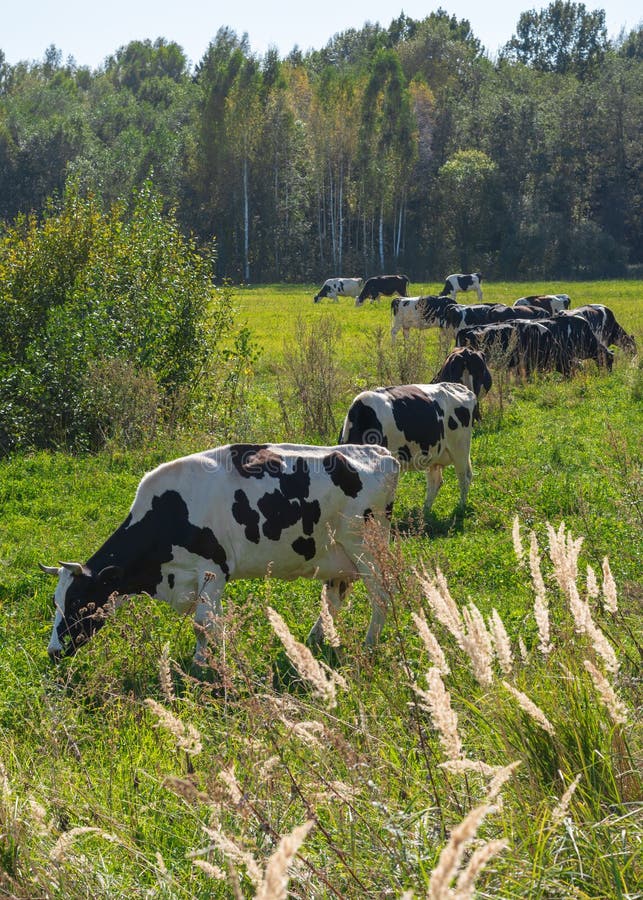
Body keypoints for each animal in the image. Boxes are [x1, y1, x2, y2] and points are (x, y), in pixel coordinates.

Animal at [40, 443, 400, 666]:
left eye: (77, 603)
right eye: (55, 602)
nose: (53, 652)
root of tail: (380, 453)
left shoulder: (212, 571)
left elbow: (204, 624)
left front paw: (205, 665)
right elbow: (211, 623)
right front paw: (209, 660)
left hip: (366, 547)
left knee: (381, 596)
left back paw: (369, 645)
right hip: (337, 556)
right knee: (334, 598)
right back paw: (314, 641)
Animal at [339, 383, 477, 515]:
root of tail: (460, 387)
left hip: (460, 448)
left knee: (464, 478)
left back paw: (460, 508)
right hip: (434, 454)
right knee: (435, 482)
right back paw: (425, 513)